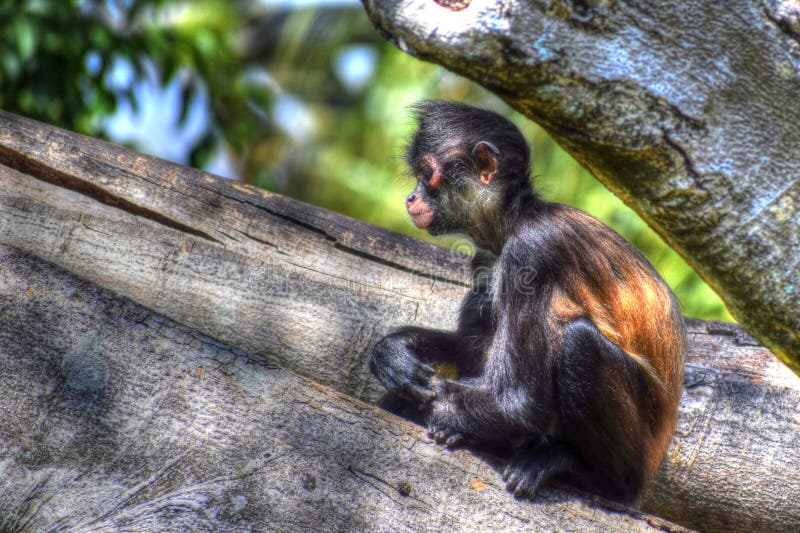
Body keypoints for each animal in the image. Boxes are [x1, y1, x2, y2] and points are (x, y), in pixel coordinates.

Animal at [368, 101, 686, 506]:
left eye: (428, 175)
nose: (411, 197)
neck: (519, 218)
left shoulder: (531, 250)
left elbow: (520, 404)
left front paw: (432, 411)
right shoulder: (488, 255)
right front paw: (394, 353)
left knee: (578, 342)